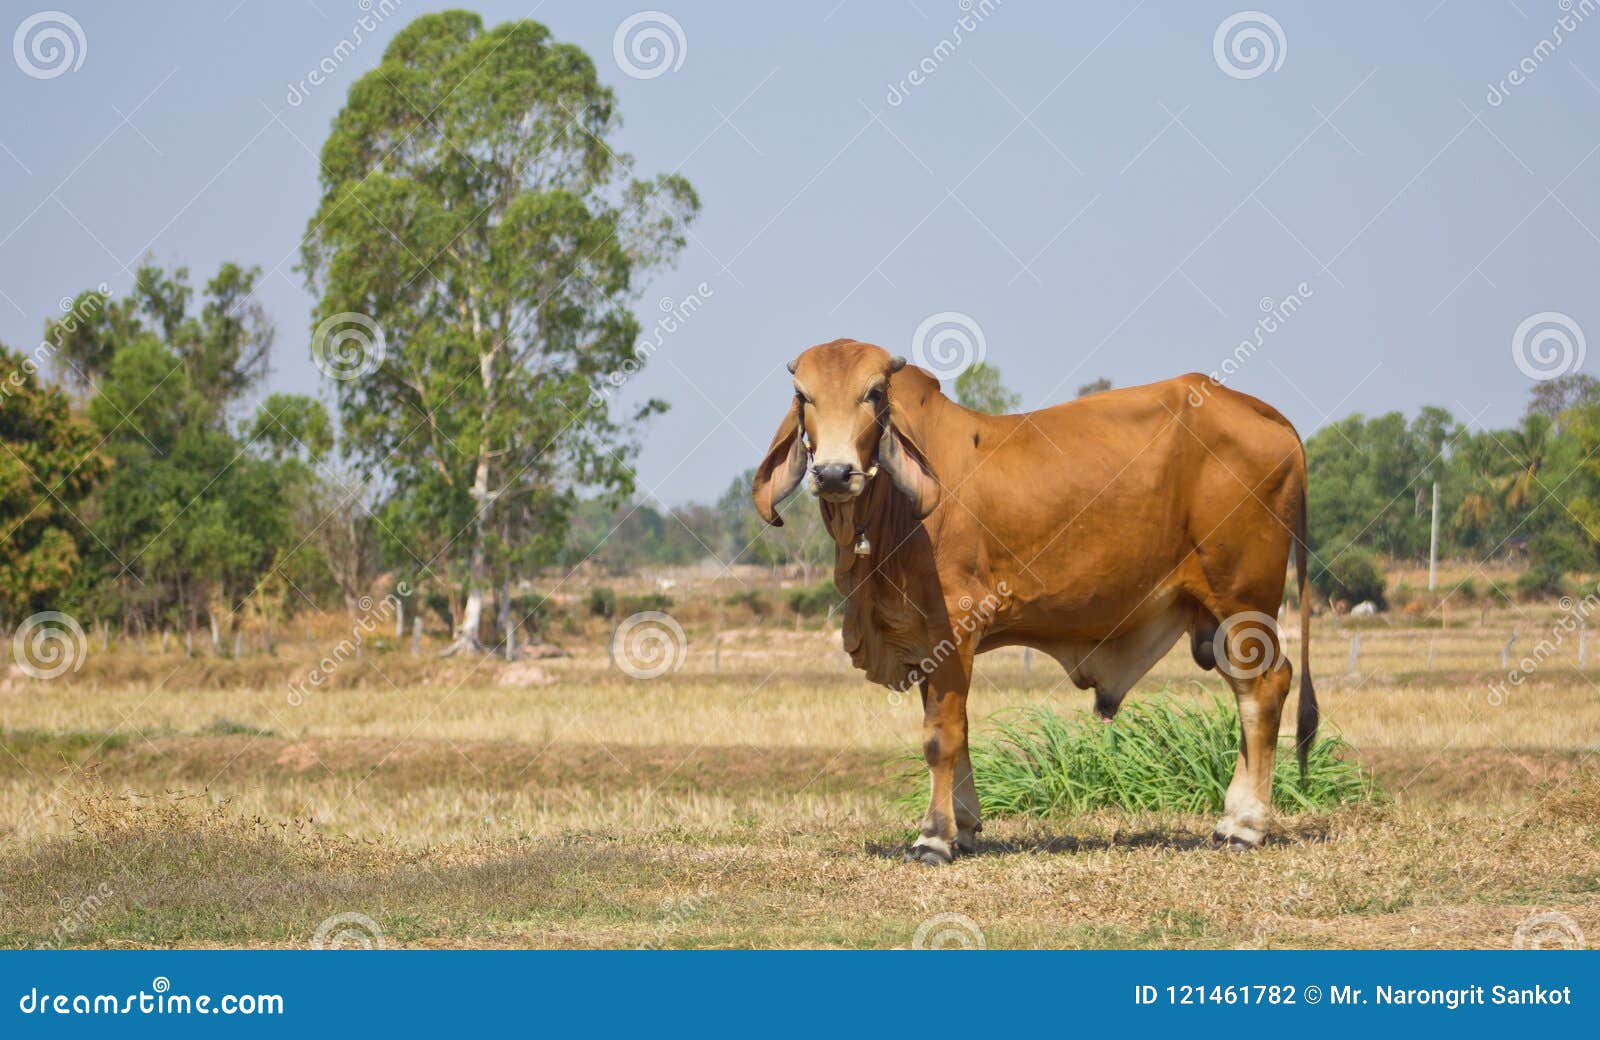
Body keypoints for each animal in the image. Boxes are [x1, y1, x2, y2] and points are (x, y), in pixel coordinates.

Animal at [752, 338, 1317, 865]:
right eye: (803, 395)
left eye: (873, 393)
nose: (833, 473)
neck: (889, 514)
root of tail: (1268, 416)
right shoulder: (924, 641)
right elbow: (961, 730)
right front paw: (965, 827)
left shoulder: (952, 627)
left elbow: (941, 737)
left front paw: (934, 836)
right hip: (1216, 615)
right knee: (1245, 693)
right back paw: (1230, 821)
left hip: (1243, 598)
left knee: (1265, 689)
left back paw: (1246, 826)